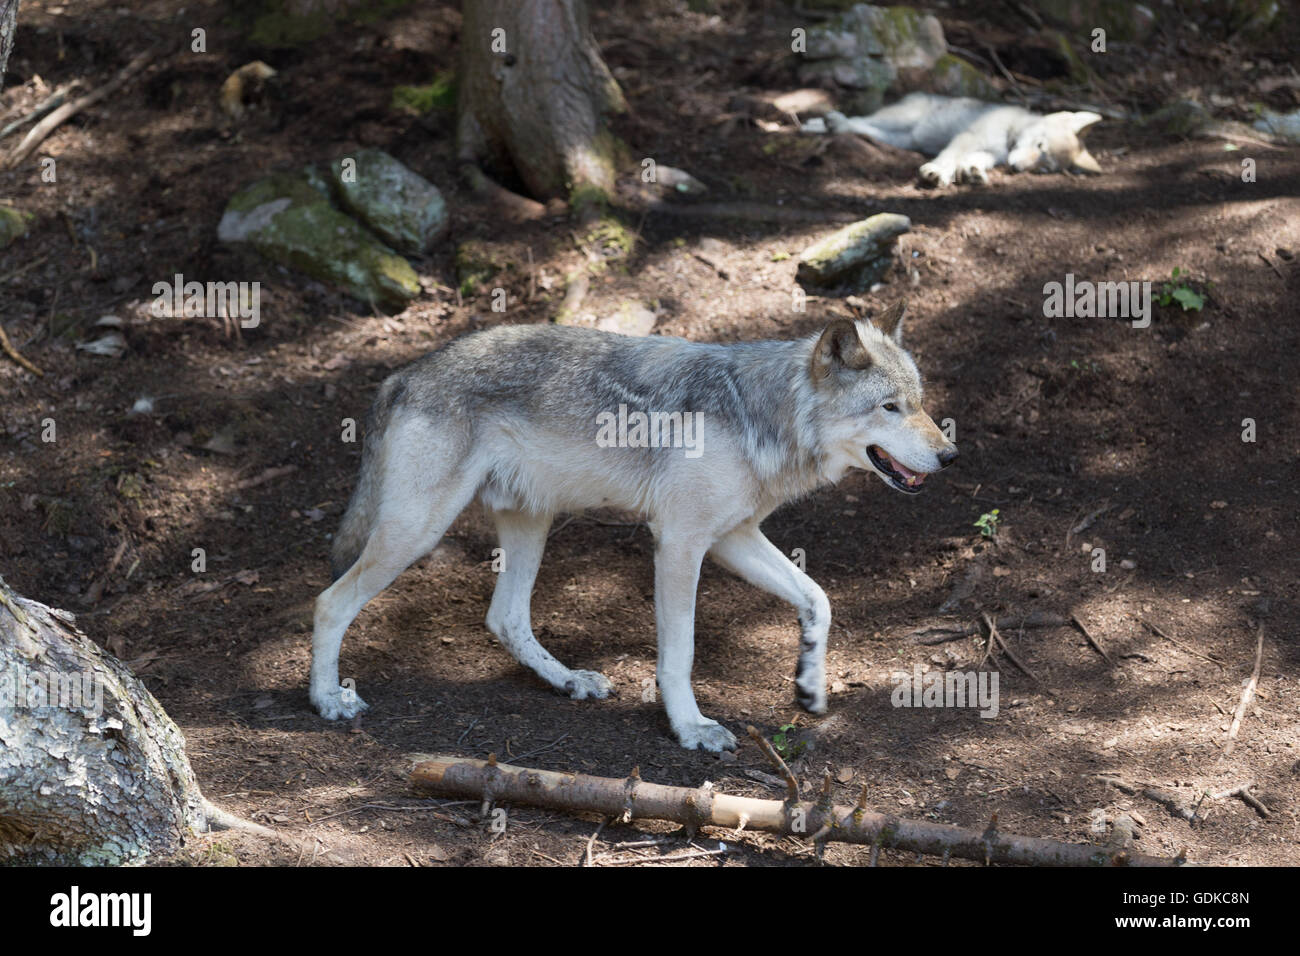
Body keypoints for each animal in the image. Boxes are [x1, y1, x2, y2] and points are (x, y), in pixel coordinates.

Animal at [309, 302, 957, 752]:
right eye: (890, 408)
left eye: (922, 402)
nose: (950, 455)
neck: (765, 416)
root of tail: (403, 375)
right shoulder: (680, 544)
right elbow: (680, 654)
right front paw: (691, 728)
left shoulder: (733, 538)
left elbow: (818, 598)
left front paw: (810, 684)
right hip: (418, 532)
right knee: (330, 602)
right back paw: (327, 700)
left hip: (530, 523)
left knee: (504, 617)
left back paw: (570, 681)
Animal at [802, 92, 1102, 187]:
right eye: (1040, 146)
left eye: (1043, 169)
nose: (1016, 168)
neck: (1011, 132)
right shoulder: (968, 138)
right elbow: (948, 158)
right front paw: (936, 173)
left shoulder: (988, 153)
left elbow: (974, 161)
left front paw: (972, 172)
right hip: (900, 119)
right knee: (859, 120)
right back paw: (827, 122)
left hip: (905, 138)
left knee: (864, 129)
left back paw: (822, 126)